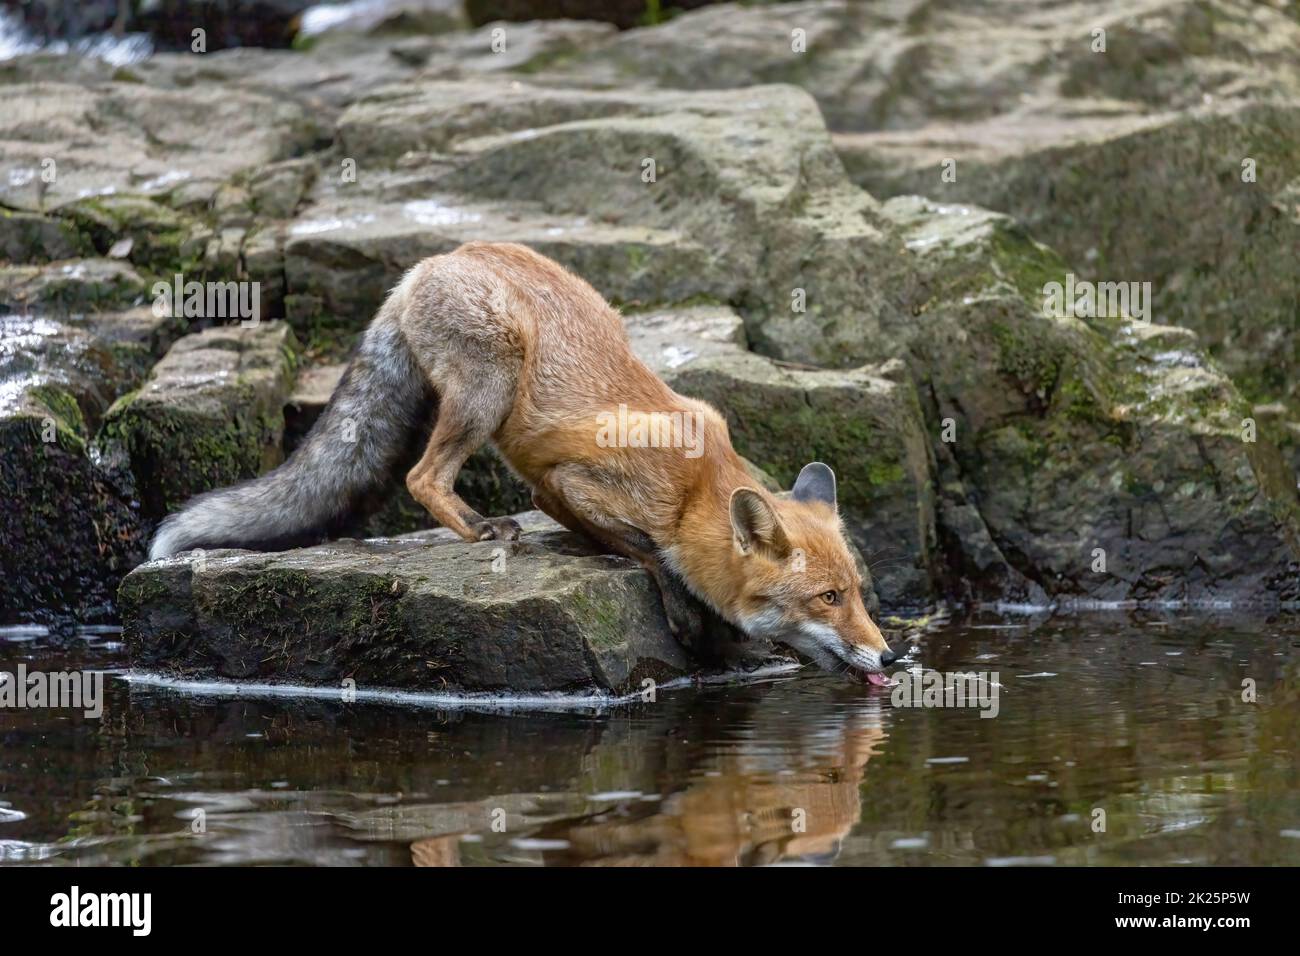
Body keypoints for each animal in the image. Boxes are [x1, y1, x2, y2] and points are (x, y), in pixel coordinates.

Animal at [149, 242, 898, 683]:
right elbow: (645, 552)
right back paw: (478, 526)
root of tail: (430, 261)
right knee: (422, 477)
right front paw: (688, 617)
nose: (891, 655)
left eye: (858, 592)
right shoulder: (566, 487)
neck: (694, 491)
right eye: (827, 599)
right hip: (489, 386)